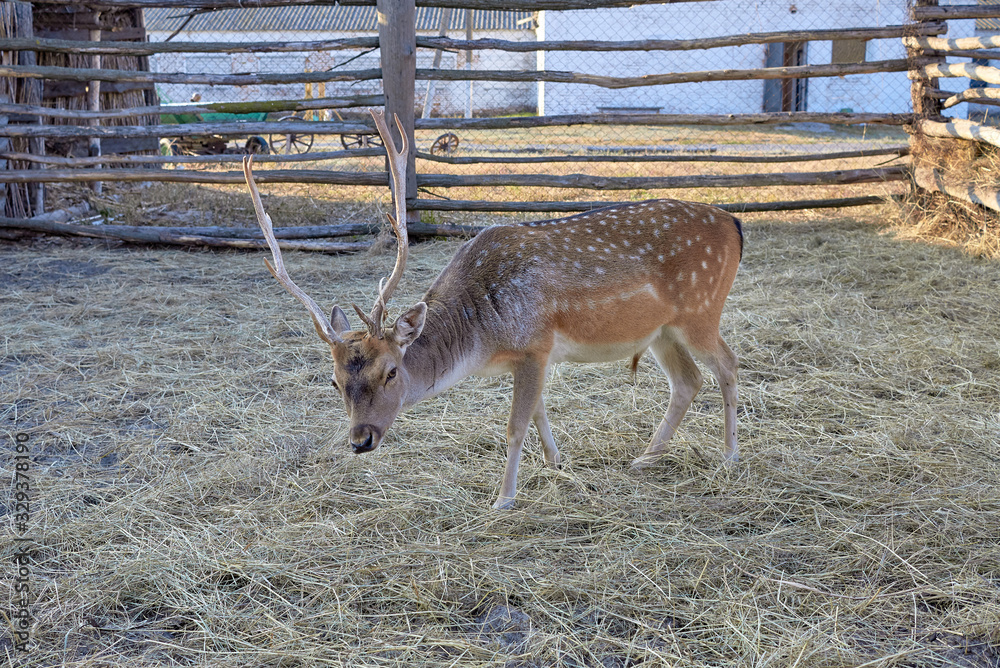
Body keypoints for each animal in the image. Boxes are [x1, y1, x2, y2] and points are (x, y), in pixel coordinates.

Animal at [242, 109, 743, 510]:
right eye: (334, 380)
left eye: (390, 371)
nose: (360, 440)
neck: (483, 337)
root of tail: (734, 224)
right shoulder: (533, 357)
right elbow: (539, 412)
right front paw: (556, 463)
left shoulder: (535, 345)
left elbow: (515, 425)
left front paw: (503, 498)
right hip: (662, 331)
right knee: (688, 381)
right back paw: (645, 457)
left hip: (701, 311)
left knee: (728, 363)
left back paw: (729, 454)